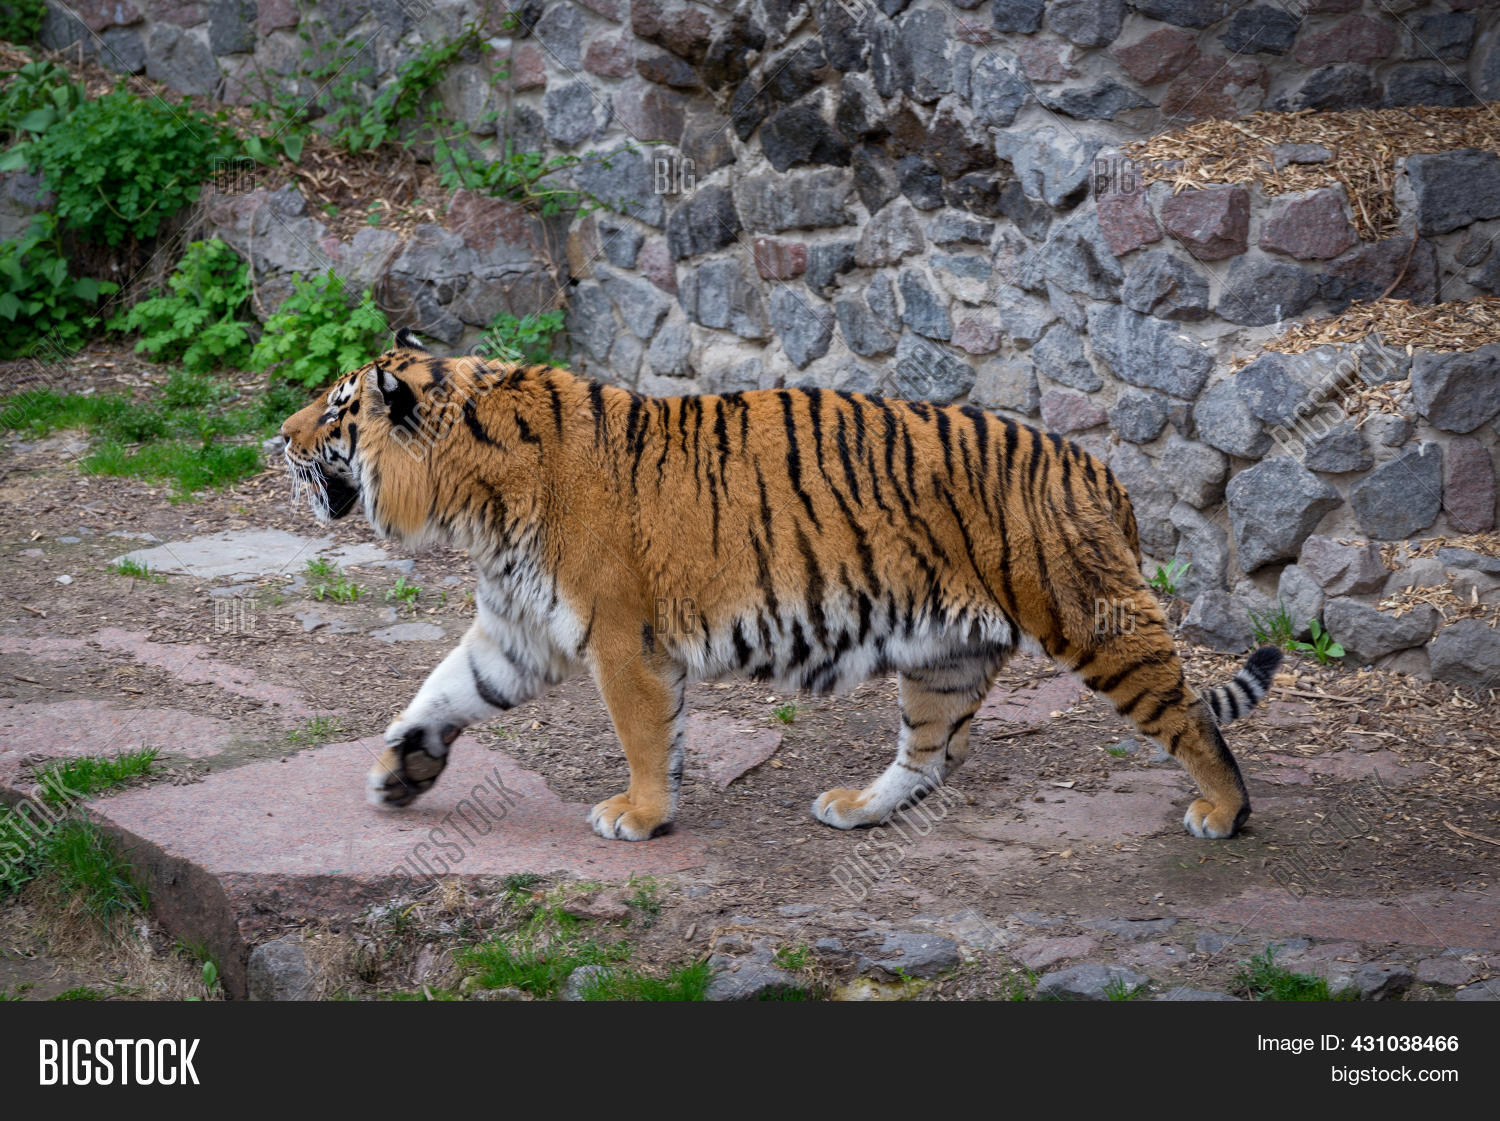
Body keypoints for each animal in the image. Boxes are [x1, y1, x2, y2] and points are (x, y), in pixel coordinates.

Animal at [276, 328, 1282, 843]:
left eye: (336, 409)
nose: (276, 436)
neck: (470, 501)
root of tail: (1099, 469)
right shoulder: (515, 631)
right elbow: (440, 690)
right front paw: (400, 772)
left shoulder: (620, 639)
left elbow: (645, 736)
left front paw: (640, 815)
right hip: (945, 653)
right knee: (932, 751)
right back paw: (859, 808)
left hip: (1091, 619)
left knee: (1187, 714)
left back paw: (1223, 811)